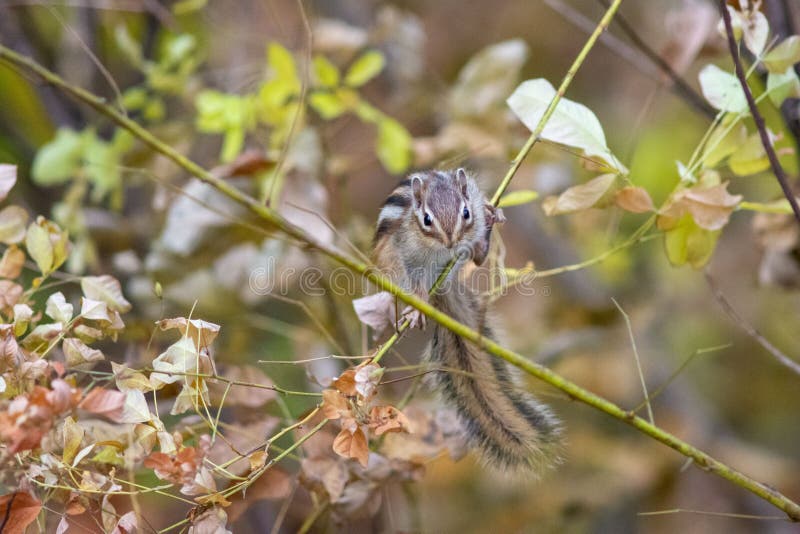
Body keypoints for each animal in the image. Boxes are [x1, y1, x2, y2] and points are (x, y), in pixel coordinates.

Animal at [372, 168, 562, 472]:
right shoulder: (405, 251)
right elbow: (414, 279)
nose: (451, 242)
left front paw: (491, 214)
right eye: (426, 219)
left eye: (466, 212)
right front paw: (418, 302)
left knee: (479, 256)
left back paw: (487, 232)